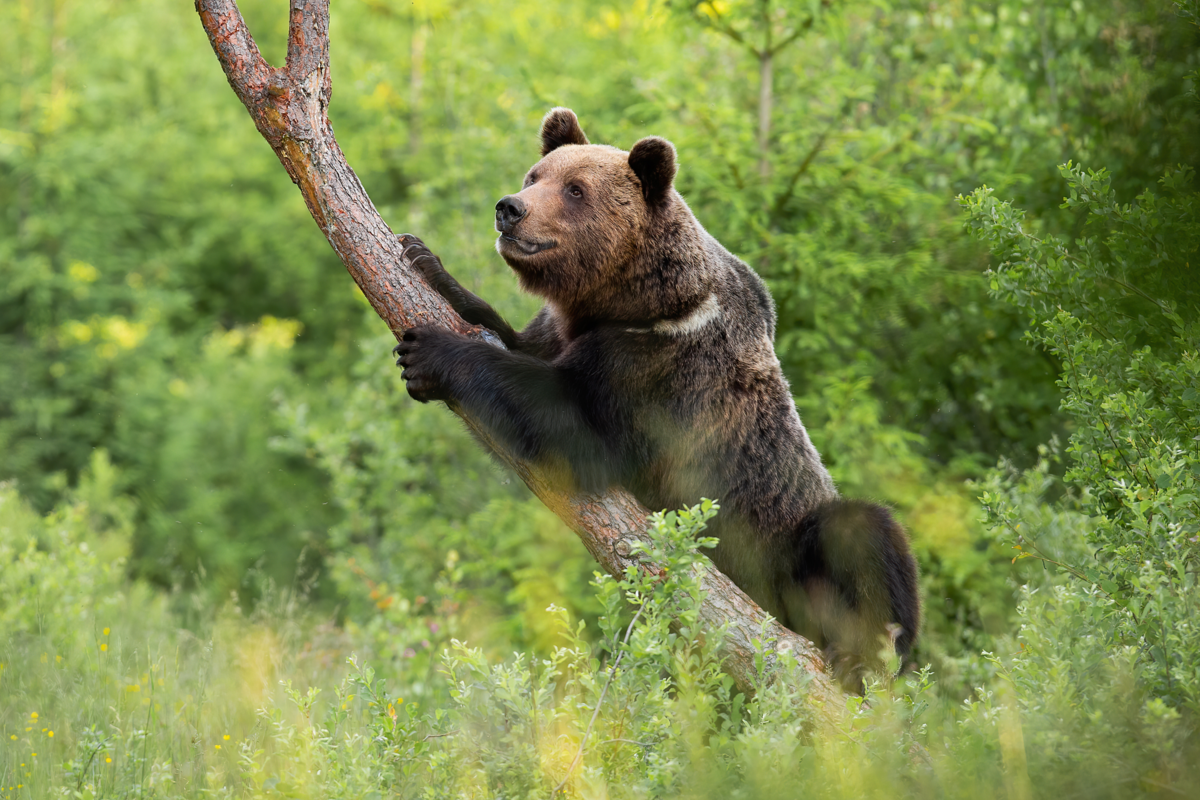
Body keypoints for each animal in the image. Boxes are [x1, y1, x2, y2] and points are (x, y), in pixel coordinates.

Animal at [391, 103, 916, 686]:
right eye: (535, 175)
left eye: (575, 189)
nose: (510, 209)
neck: (634, 302)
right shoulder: (564, 331)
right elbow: (512, 346)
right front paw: (425, 261)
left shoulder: (662, 372)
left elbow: (574, 431)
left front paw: (431, 352)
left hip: (784, 539)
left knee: (863, 533)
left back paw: (863, 654)